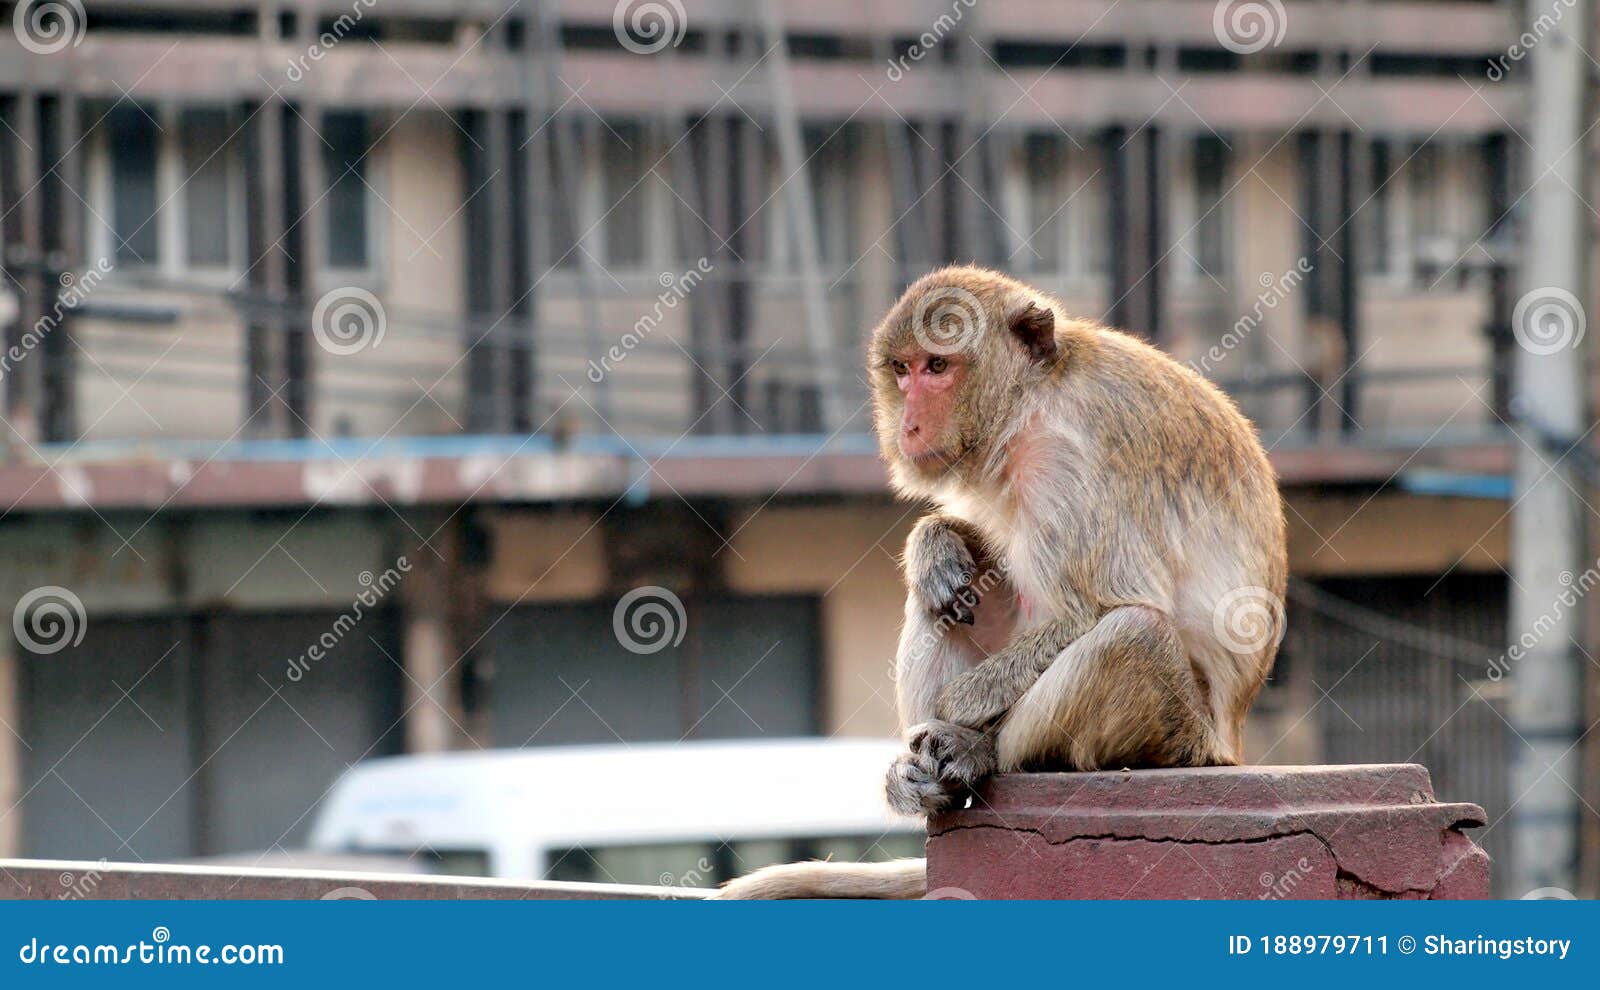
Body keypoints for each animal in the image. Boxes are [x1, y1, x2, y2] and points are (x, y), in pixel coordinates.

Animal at [716, 265, 1287, 899]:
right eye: (903, 370)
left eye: (938, 367)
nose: (908, 423)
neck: (1032, 398)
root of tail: (1231, 739)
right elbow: (984, 561)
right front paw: (935, 543)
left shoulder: (1066, 462)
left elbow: (1101, 607)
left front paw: (955, 706)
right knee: (944, 602)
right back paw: (919, 776)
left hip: (1182, 737)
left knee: (1136, 633)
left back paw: (979, 749)